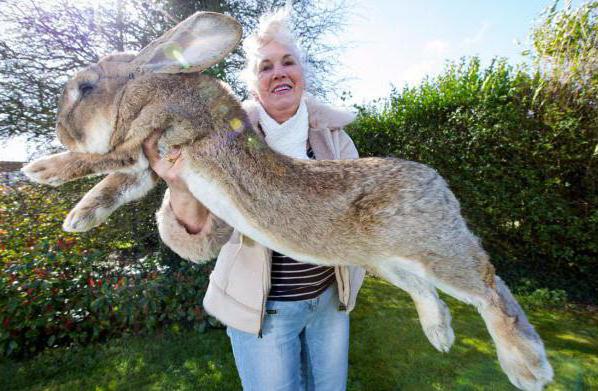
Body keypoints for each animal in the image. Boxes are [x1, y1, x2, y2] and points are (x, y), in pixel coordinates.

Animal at [21, 10, 556, 390]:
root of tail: (439, 185)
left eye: (86, 87)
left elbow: (104, 160)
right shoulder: (149, 164)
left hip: (430, 248)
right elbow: (115, 183)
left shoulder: (155, 135)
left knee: (490, 288)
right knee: (430, 290)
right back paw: (441, 335)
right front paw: (78, 218)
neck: (152, 86)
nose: (61, 131)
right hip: (387, 260)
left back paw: (529, 368)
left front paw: (42, 170)